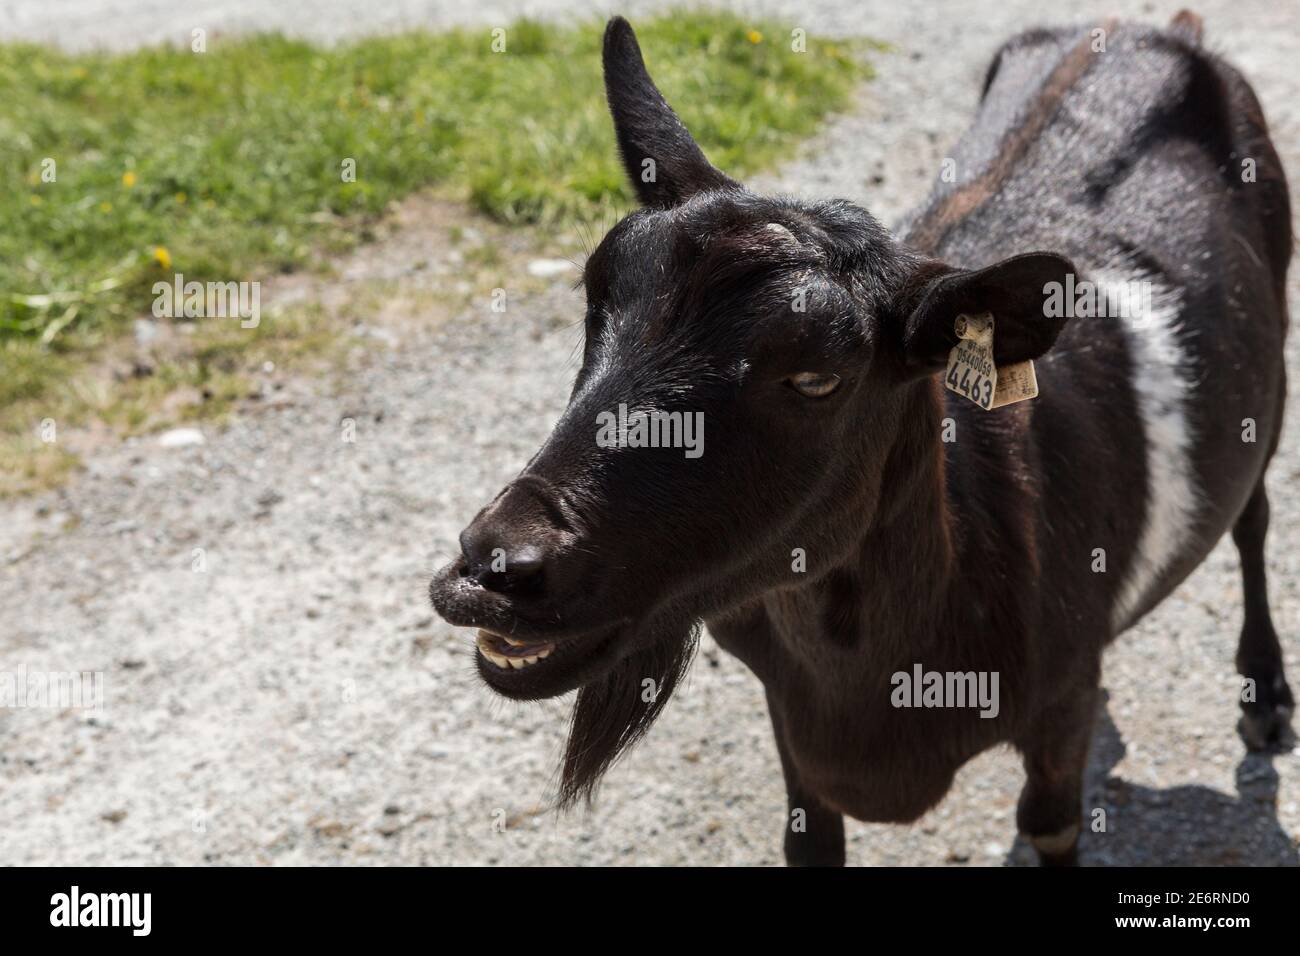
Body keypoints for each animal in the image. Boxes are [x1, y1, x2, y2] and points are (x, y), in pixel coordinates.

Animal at [429, 11, 1293, 865]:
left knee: (1253, 514)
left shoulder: (1062, 705)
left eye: (818, 378)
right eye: (594, 301)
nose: (495, 567)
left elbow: (1052, 820)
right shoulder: (788, 717)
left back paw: (1266, 696)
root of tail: (1155, 28)